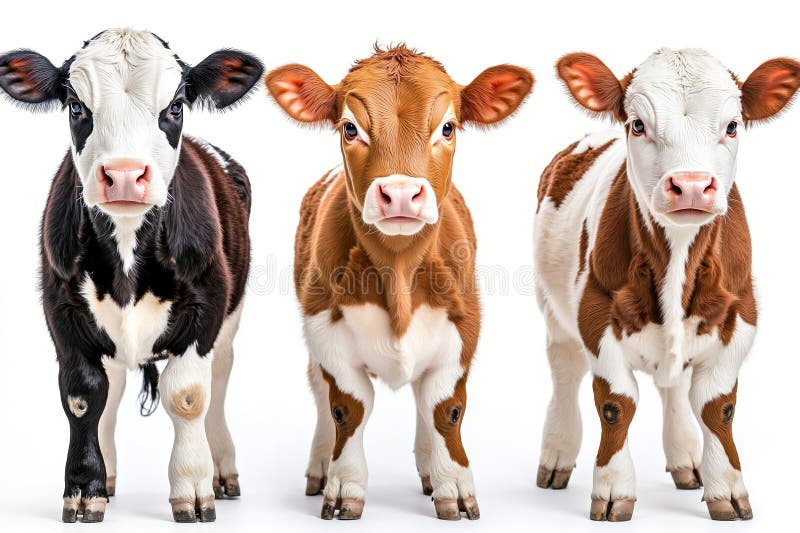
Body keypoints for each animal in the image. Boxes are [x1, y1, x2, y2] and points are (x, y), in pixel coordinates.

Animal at [0, 29, 263, 523]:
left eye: (175, 106)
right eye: (76, 107)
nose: (123, 176)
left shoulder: (207, 306)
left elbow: (189, 396)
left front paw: (193, 489)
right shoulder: (61, 309)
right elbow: (84, 397)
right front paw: (85, 488)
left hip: (231, 320)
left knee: (218, 381)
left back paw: (223, 472)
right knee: (114, 387)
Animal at [264, 45, 533, 520]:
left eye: (447, 127)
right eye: (350, 127)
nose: (403, 194)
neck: (399, 274)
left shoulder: (463, 329)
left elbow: (444, 409)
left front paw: (452, 486)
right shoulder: (325, 332)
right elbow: (347, 409)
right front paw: (344, 487)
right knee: (318, 389)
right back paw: (319, 466)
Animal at [534, 48, 800, 521]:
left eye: (732, 125)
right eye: (638, 124)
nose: (691, 185)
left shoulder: (740, 320)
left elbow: (717, 408)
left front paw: (726, 489)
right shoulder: (596, 318)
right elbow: (616, 404)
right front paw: (614, 490)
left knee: (673, 387)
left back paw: (686, 462)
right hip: (552, 308)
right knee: (565, 370)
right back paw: (556, 458)